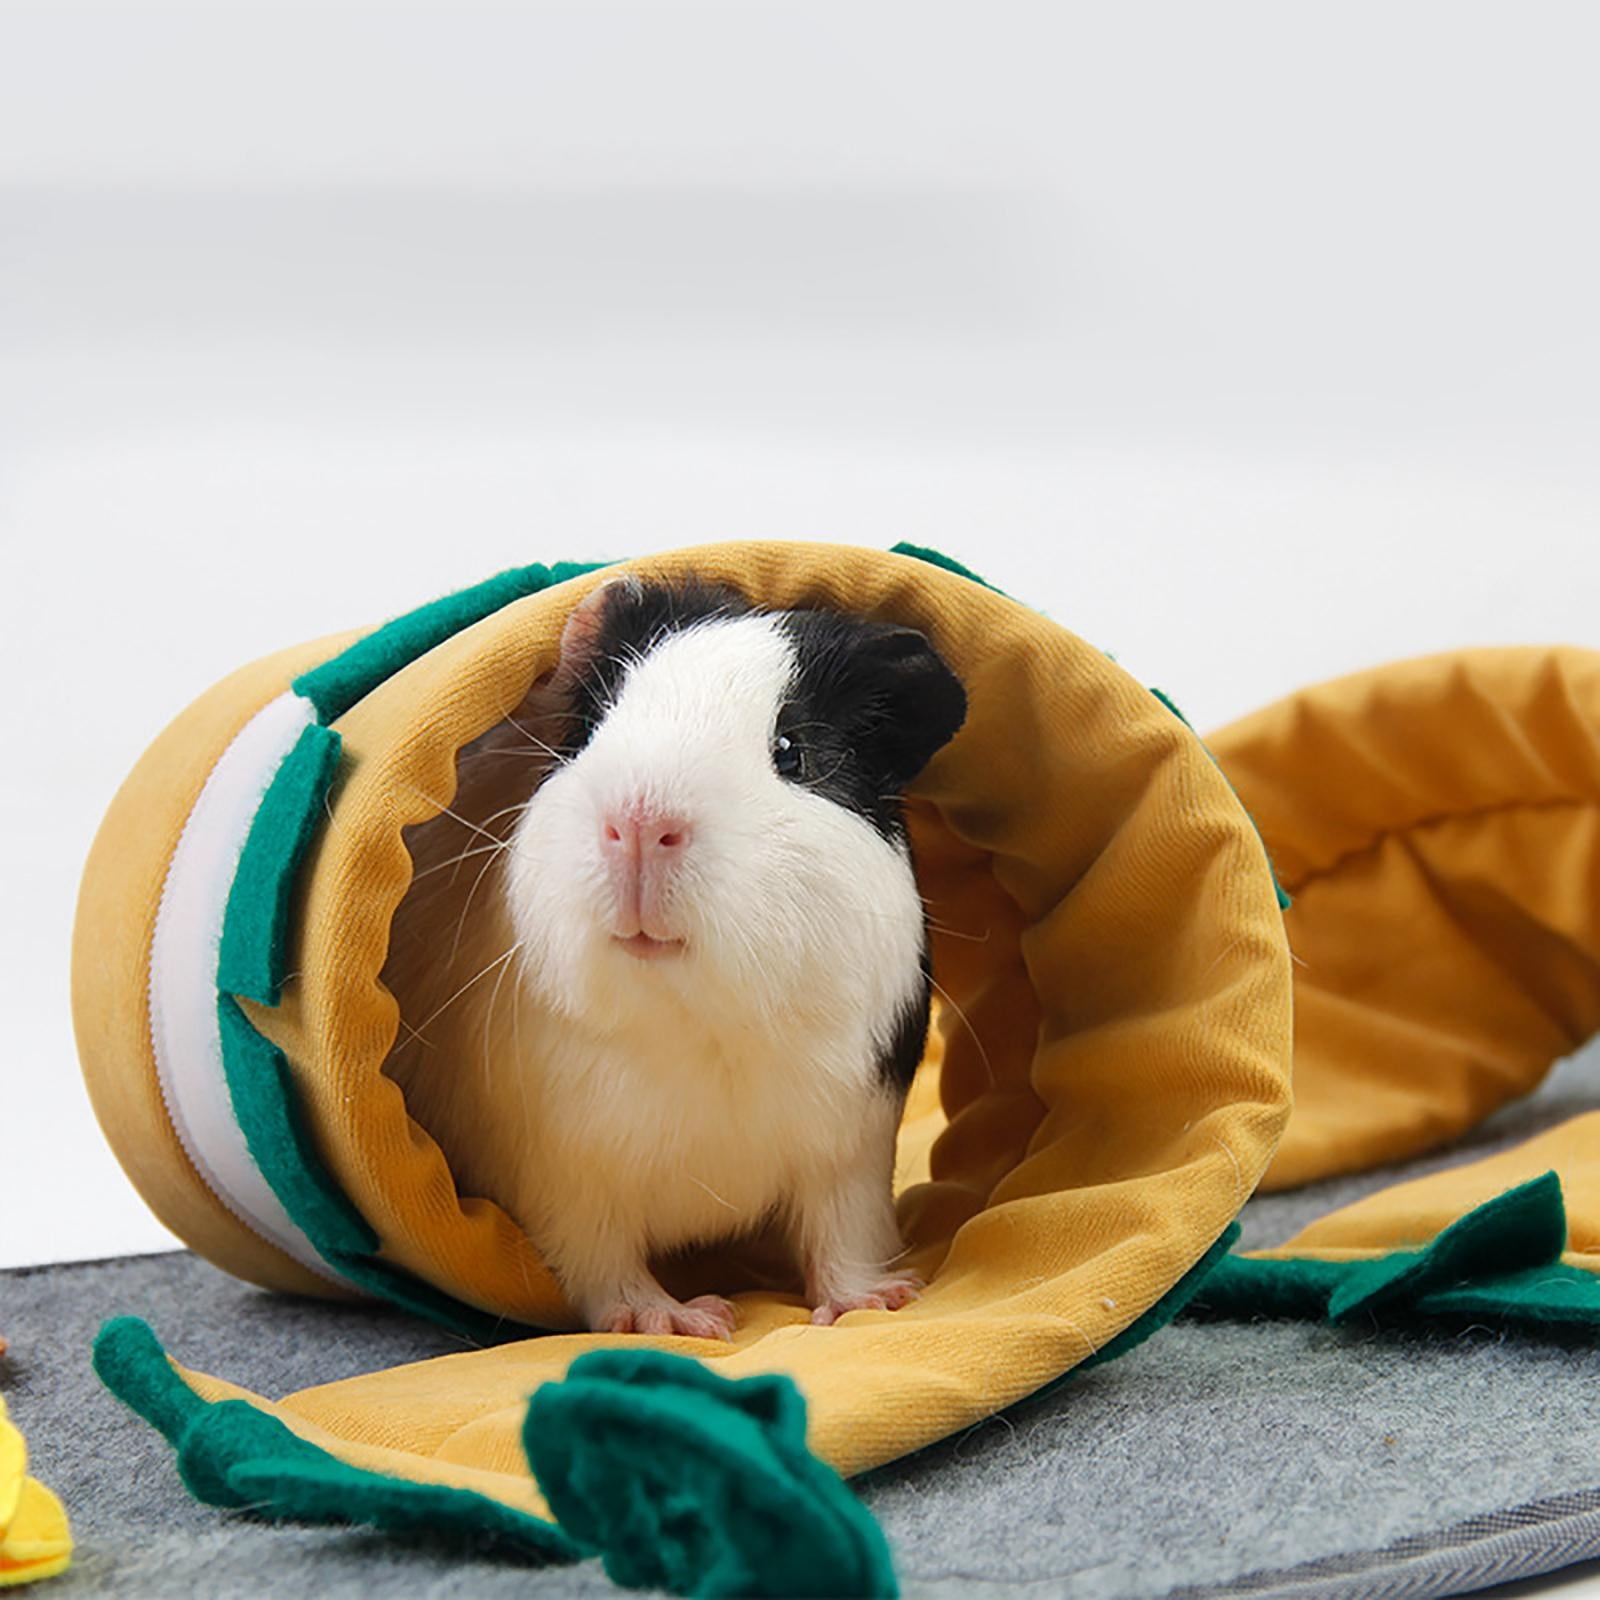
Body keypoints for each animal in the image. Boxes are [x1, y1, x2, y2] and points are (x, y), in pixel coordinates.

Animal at [383, 573, 967, 1339]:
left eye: (791, 750)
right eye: (593, 729)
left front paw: (879, 1301)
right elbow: (604, 1266)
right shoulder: (560, 1175)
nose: (639, 823)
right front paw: (685, 1321)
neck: (700, 1029)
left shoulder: (851, 1149)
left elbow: (845, 1235)